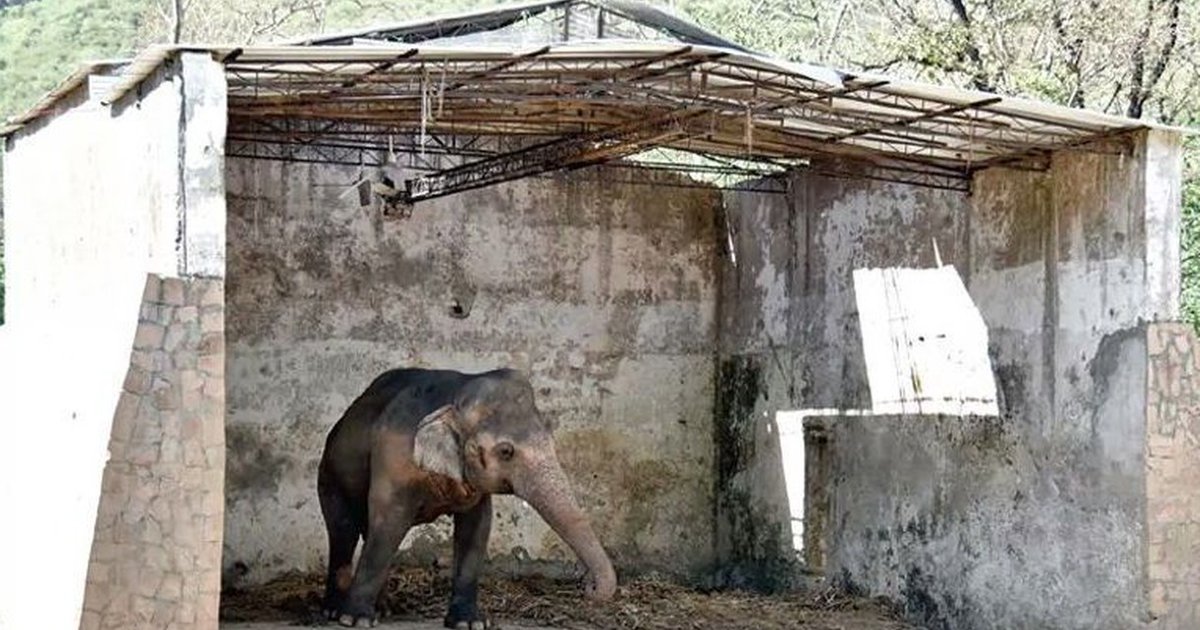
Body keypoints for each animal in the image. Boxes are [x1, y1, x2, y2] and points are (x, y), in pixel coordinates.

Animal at [317, 367, 617, 628]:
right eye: (506, 451)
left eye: (551, 440)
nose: (587, 586)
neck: (455, 398)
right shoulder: (394, 459)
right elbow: (389, 522)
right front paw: (355, 620)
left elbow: (477, 527)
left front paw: (470, 623)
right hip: (329, 473)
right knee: (344, 531)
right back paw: (335, 611)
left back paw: (382, 609)